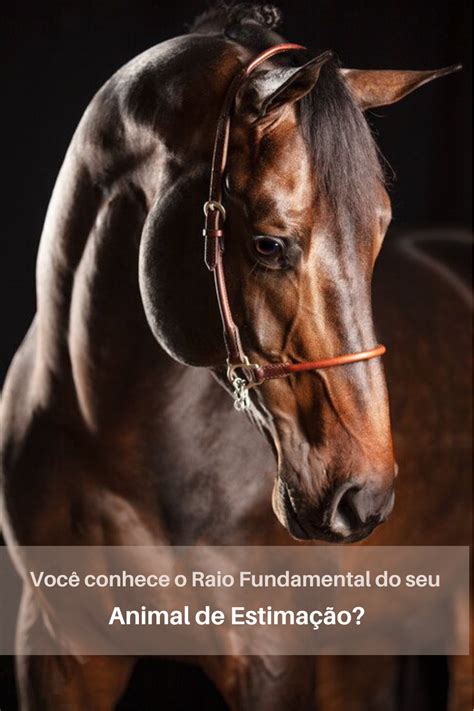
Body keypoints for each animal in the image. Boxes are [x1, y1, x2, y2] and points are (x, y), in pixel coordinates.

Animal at [0, 4, 469, 709]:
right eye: (269, 244)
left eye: (378, 231)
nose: (364, 496)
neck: (109, 430)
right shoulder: (58, 652)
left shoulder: (271, 660)